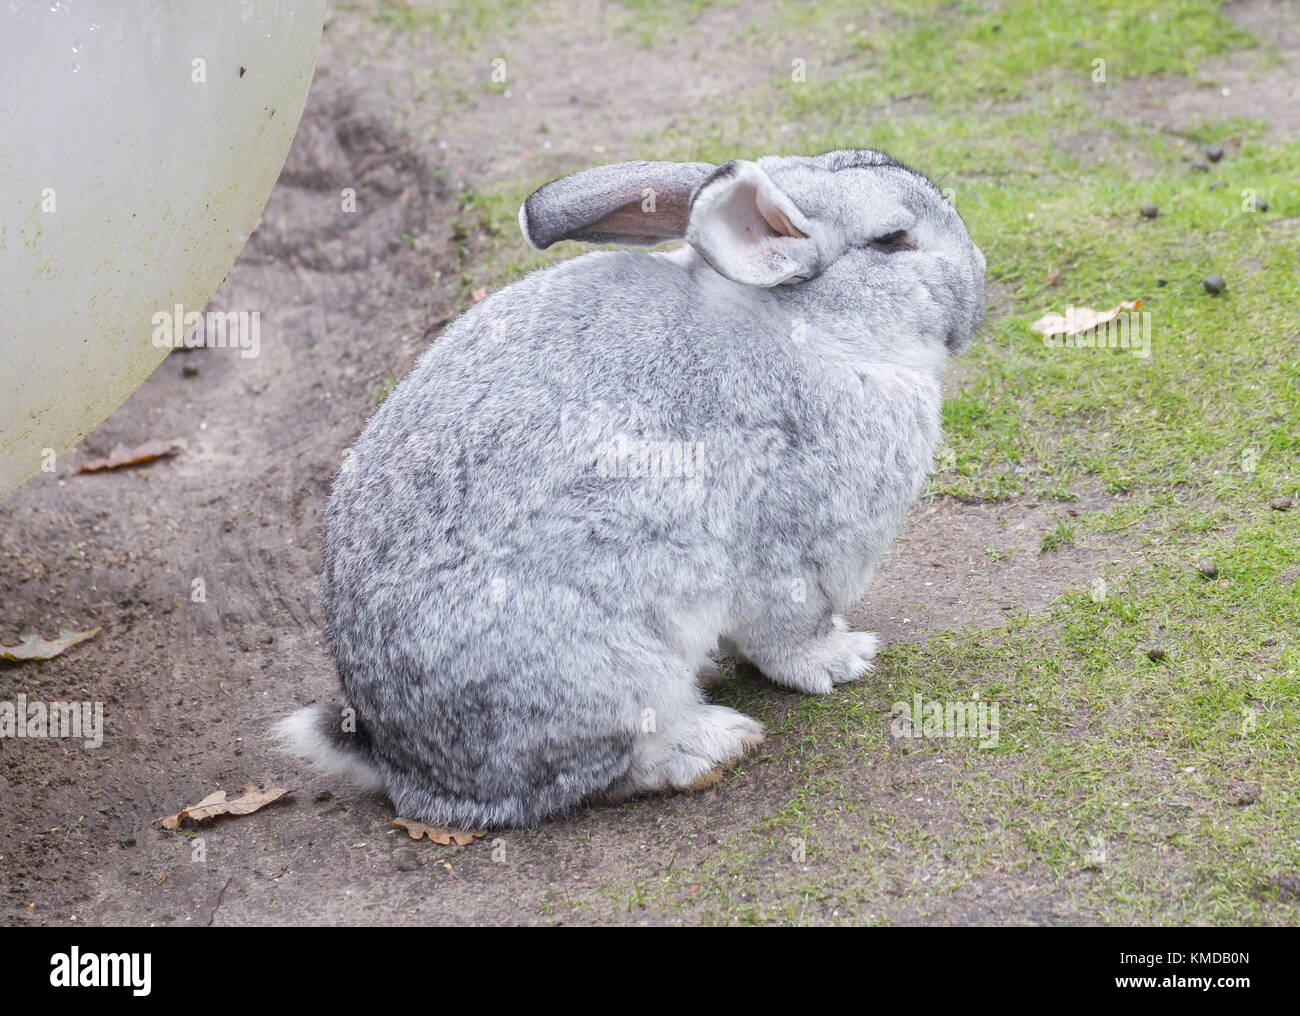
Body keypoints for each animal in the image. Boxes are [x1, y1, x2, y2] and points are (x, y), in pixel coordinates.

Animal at [273, 149, 986, 828]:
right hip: (606, 672)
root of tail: (401, 763)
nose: (979, 281)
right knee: (597, 772)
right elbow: (790, 634)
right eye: (892, 240)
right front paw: (844, 658)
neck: (814, 331)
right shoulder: (792, 554)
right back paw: (707, 744)